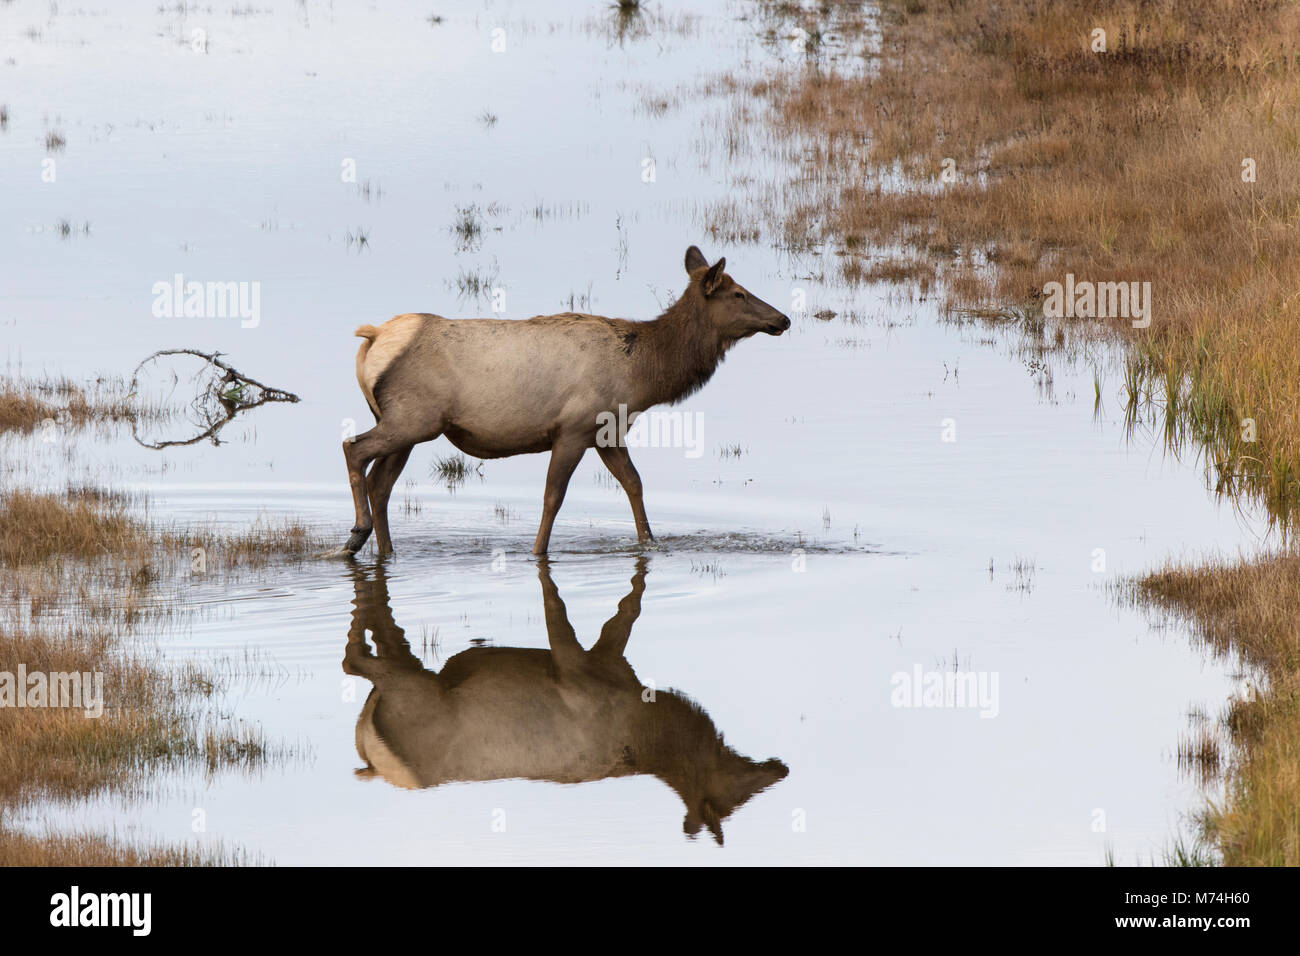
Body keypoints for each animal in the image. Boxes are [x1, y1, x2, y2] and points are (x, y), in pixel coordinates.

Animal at [338, 246, 790, 557]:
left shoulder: (607, 432)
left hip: (406, 424)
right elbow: (553, 497)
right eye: (738, 293)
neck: (643, 376)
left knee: (381, 483)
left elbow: (634, 483)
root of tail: (373, 337)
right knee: (353, 447)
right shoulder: (573, 428)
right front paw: (538, 552)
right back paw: (356, 534)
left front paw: (649, 542)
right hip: (415, 419)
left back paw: (385, 551)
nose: (783, 318)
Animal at [343, 558, 789, 845]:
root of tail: (371, 760)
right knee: (354, 661)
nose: (780, 769)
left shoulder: (612, 662)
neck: (650, 726)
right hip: (412, 689)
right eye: (737, 798)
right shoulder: (577, 671)